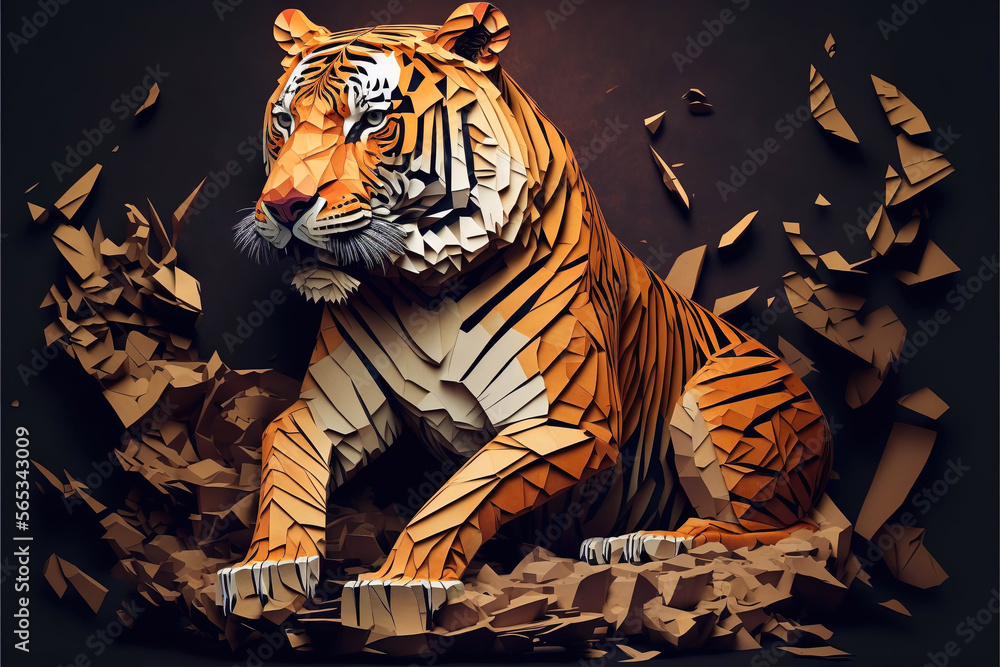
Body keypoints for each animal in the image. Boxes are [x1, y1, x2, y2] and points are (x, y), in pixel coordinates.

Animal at [217, 3, 832, 628]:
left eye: (370, 122)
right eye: (284, 121)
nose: (282, 206)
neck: (419, 285)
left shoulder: (565, 421)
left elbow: (460, 495)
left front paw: (401, 583)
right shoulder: (327, 411)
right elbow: (285, 468)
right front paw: (265, 568)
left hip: (722, 395)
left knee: (782, 530)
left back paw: (648, 541)